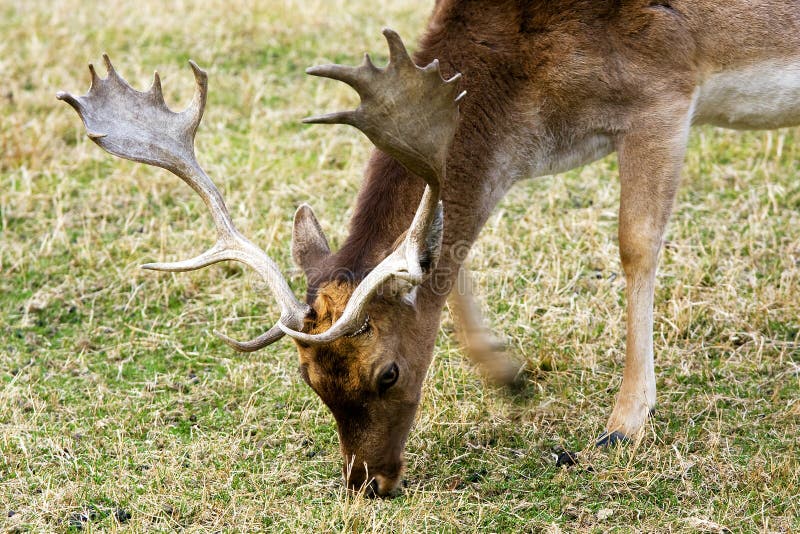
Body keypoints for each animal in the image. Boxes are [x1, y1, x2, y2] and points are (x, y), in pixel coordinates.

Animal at [58, 0, 800, 497]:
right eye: (310, 380)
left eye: (386, 374)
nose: (367, 483)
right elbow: (450, 251)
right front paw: (509, 371)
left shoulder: (665, 93)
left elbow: (636, 246)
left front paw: (624, 423)